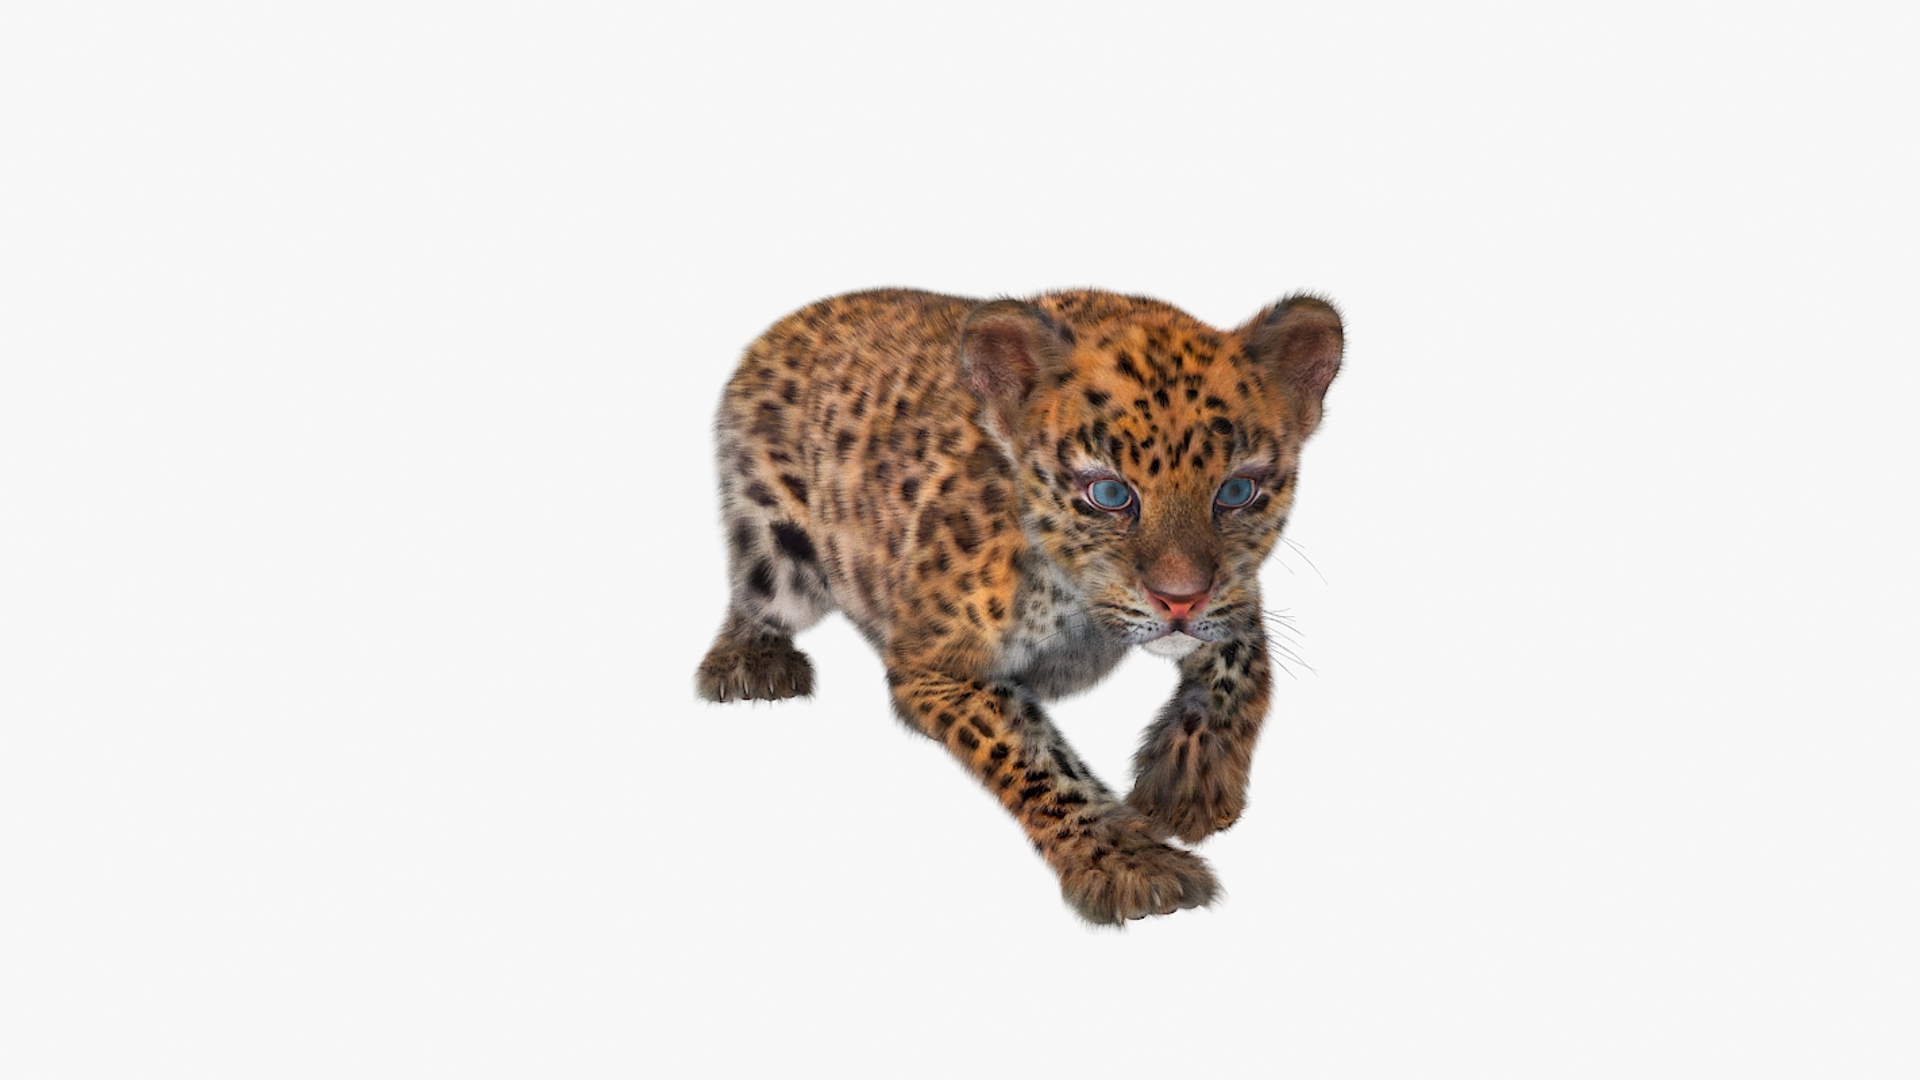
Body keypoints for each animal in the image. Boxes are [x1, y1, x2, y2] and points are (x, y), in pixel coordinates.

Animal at [695, 287, 1343, 925]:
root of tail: (793, 320)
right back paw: (749, 664)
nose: (1180, 600)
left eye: (1237, 492)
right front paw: (1130, 865)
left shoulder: (1236, 596)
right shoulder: (934, 664)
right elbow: (1038, 762)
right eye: (1109, 493)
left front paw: (1186, 789)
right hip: (780, 558)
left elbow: (1242, 667)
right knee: (753, 598)